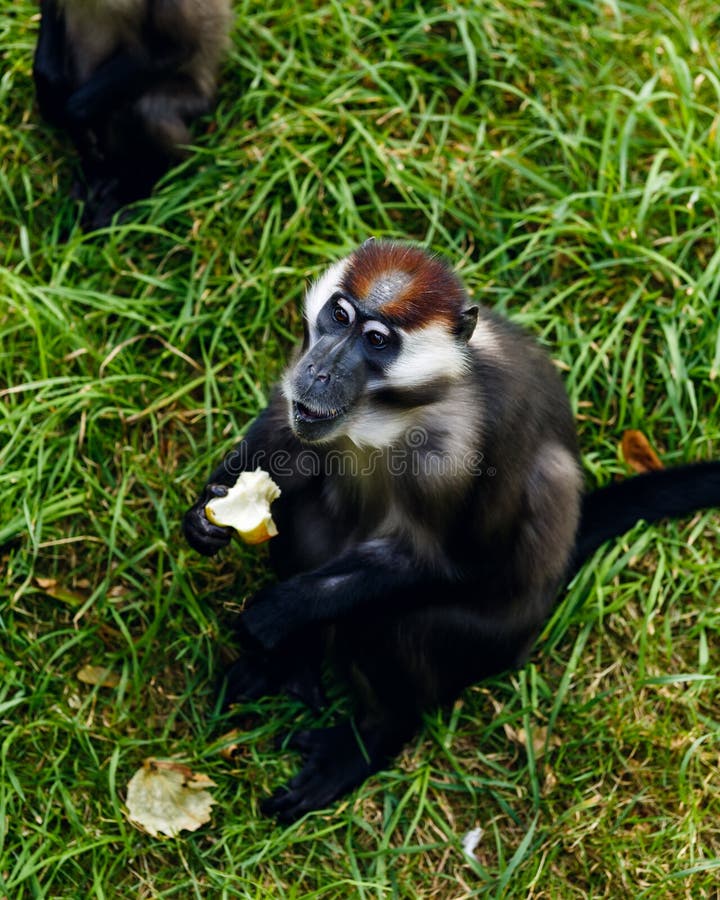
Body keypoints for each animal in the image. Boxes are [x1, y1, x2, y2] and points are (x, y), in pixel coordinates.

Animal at [32, 0, 232, 229]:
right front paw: (48, 83)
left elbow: (175, 48)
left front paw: (75, 117)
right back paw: (97, 175)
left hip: (197, 101)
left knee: (147, 110)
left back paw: (130, 191)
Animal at [183, 239, 720, 823]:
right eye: (339, 316)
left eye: (376, 340)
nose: (320, 369)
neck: (385, 415)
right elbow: (288, 442)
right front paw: (205, 518)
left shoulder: (459, 448)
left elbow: (450, 564)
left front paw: (280, 613)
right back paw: (292, 661)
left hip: (490, 640)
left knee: (388, 624)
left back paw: (368, 738)